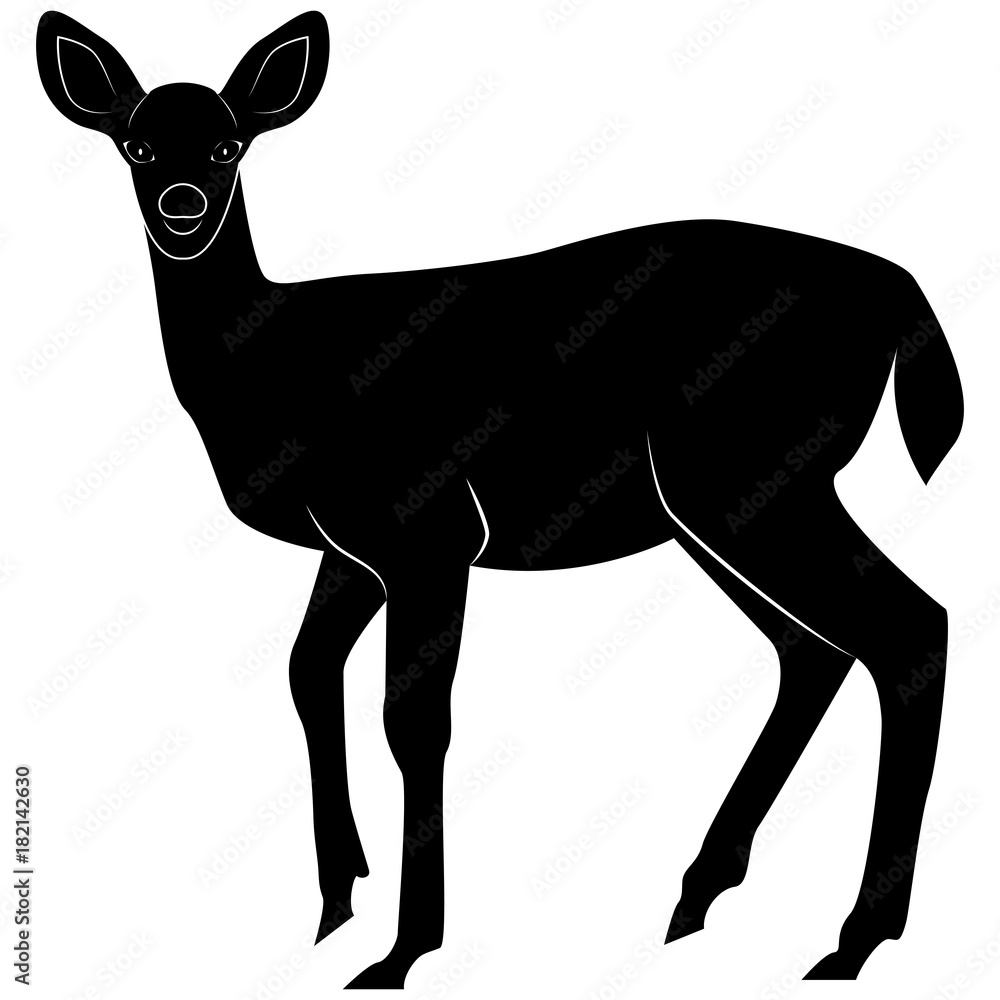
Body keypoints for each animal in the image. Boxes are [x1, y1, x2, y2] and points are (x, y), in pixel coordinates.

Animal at [37, 9, 964, 988]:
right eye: (136, 143)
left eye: (228, 144)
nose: (182, 209)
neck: (275, 371)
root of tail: (902, 296)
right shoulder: (353, 548)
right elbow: (307, 671)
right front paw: (336, 904)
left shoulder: (428, 526)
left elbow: (413, 719)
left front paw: (402, 951)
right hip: (719, 503)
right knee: (815, 647)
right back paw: (699, 897)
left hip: (751, 474)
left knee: (907, 626)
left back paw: (853, 938)